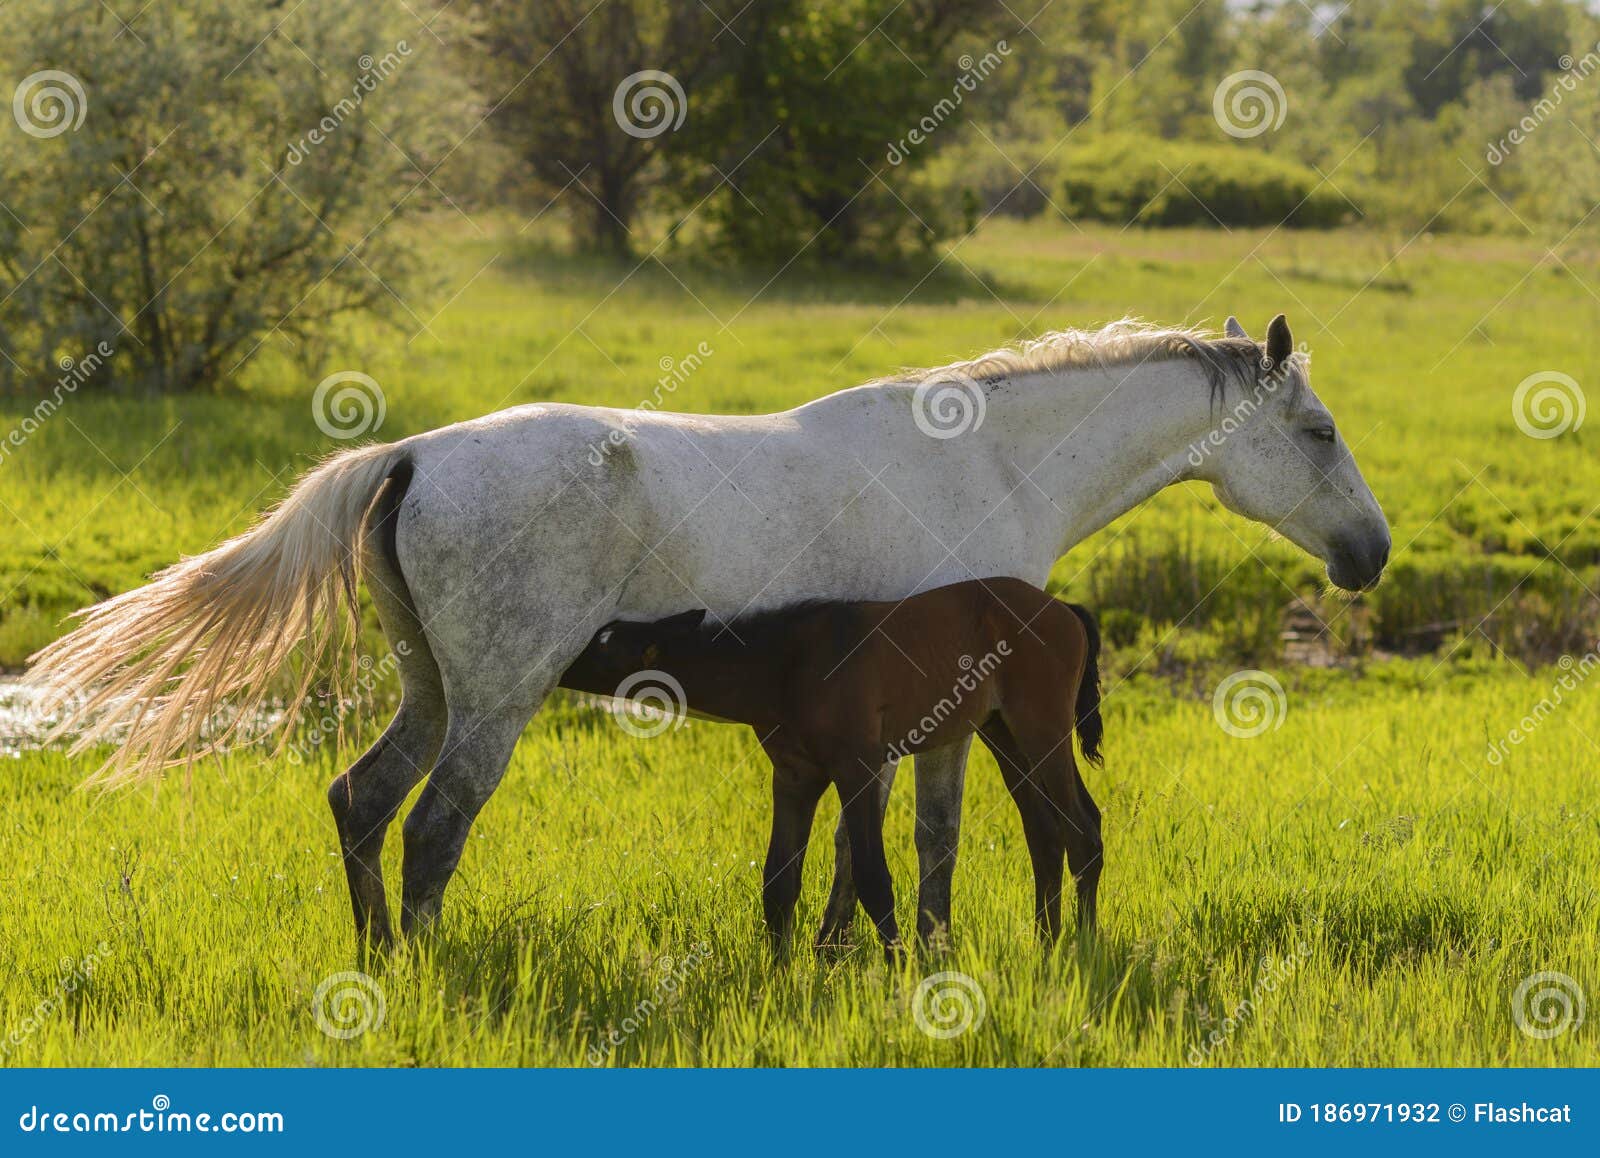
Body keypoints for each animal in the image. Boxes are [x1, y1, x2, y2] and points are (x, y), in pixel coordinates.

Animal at [560, 579, 1105, 955]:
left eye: (604, 647)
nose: (563, 659)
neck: (787, 663)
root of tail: (1067, 611)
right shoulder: (795, 778)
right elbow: (778, 881)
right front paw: (776, 977)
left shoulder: (857, 767)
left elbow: (872, 875)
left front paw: (899, 972)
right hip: (1003, 734)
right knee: (1045, 833)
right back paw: (1046, 942)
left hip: (1041, 729)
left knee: (1083, 827)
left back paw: (1082, 945)